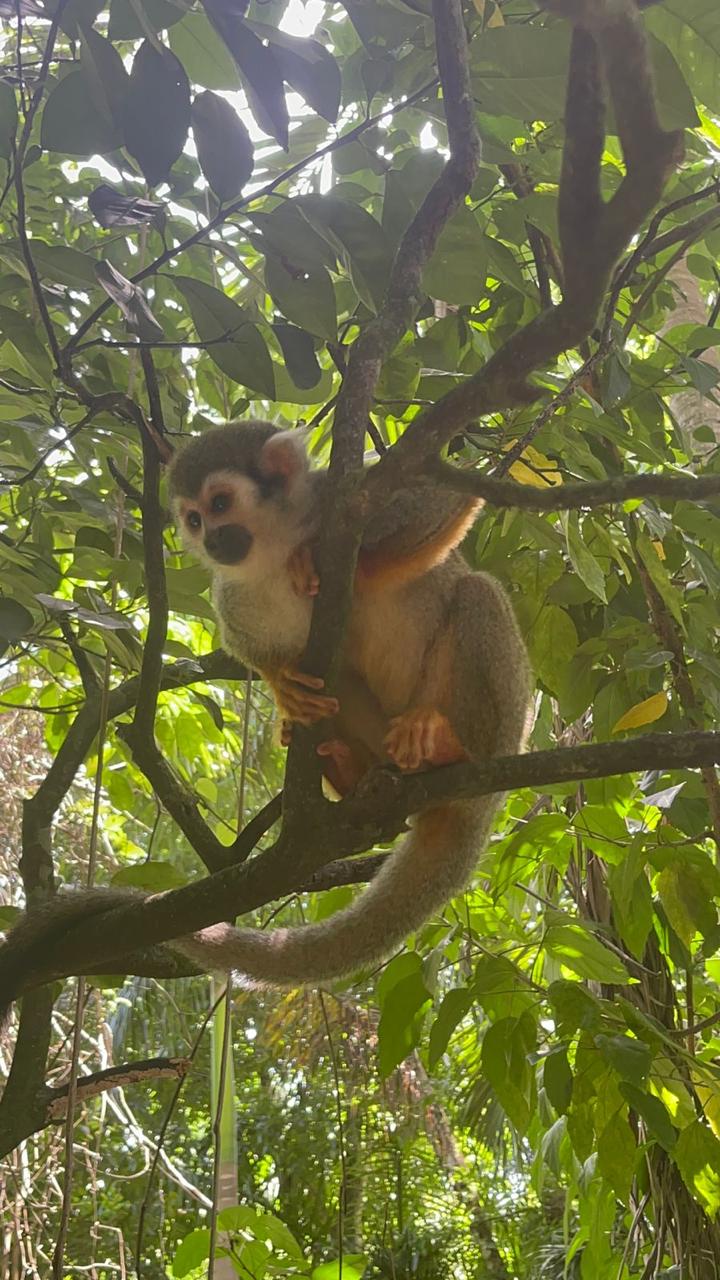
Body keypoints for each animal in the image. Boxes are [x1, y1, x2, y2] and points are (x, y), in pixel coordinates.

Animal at [0, 420, 531, 1022]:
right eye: (193, 518)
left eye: (220, 503)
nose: (211, 540)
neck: (271, 549)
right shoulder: (235, 590)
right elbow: (250, 644)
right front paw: (280, 683)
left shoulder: (345, 497)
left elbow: (443, 504)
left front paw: (327, 561)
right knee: (340, 675)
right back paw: (350, 768)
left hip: (503, 726)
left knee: (477, 593)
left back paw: (447, 745)